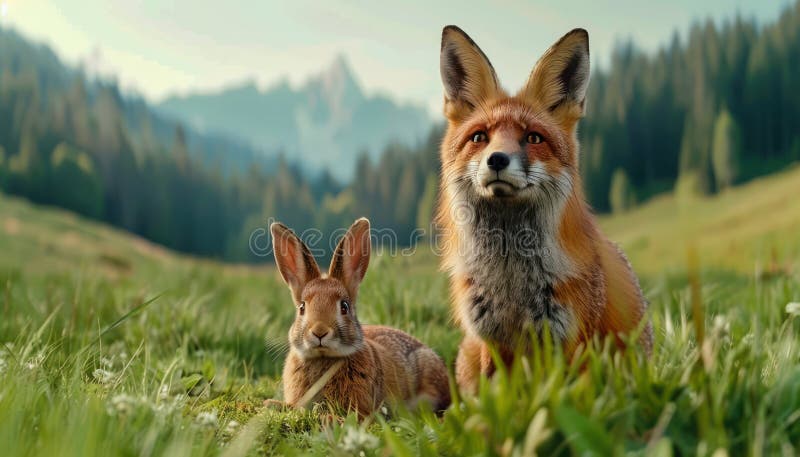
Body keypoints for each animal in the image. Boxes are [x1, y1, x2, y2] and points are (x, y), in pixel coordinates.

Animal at [435, 25, 653, 394]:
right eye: (480, 137)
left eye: (533, 138)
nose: (497, 160)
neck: (510, 278)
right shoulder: (490, 341)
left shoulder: (570, 340)